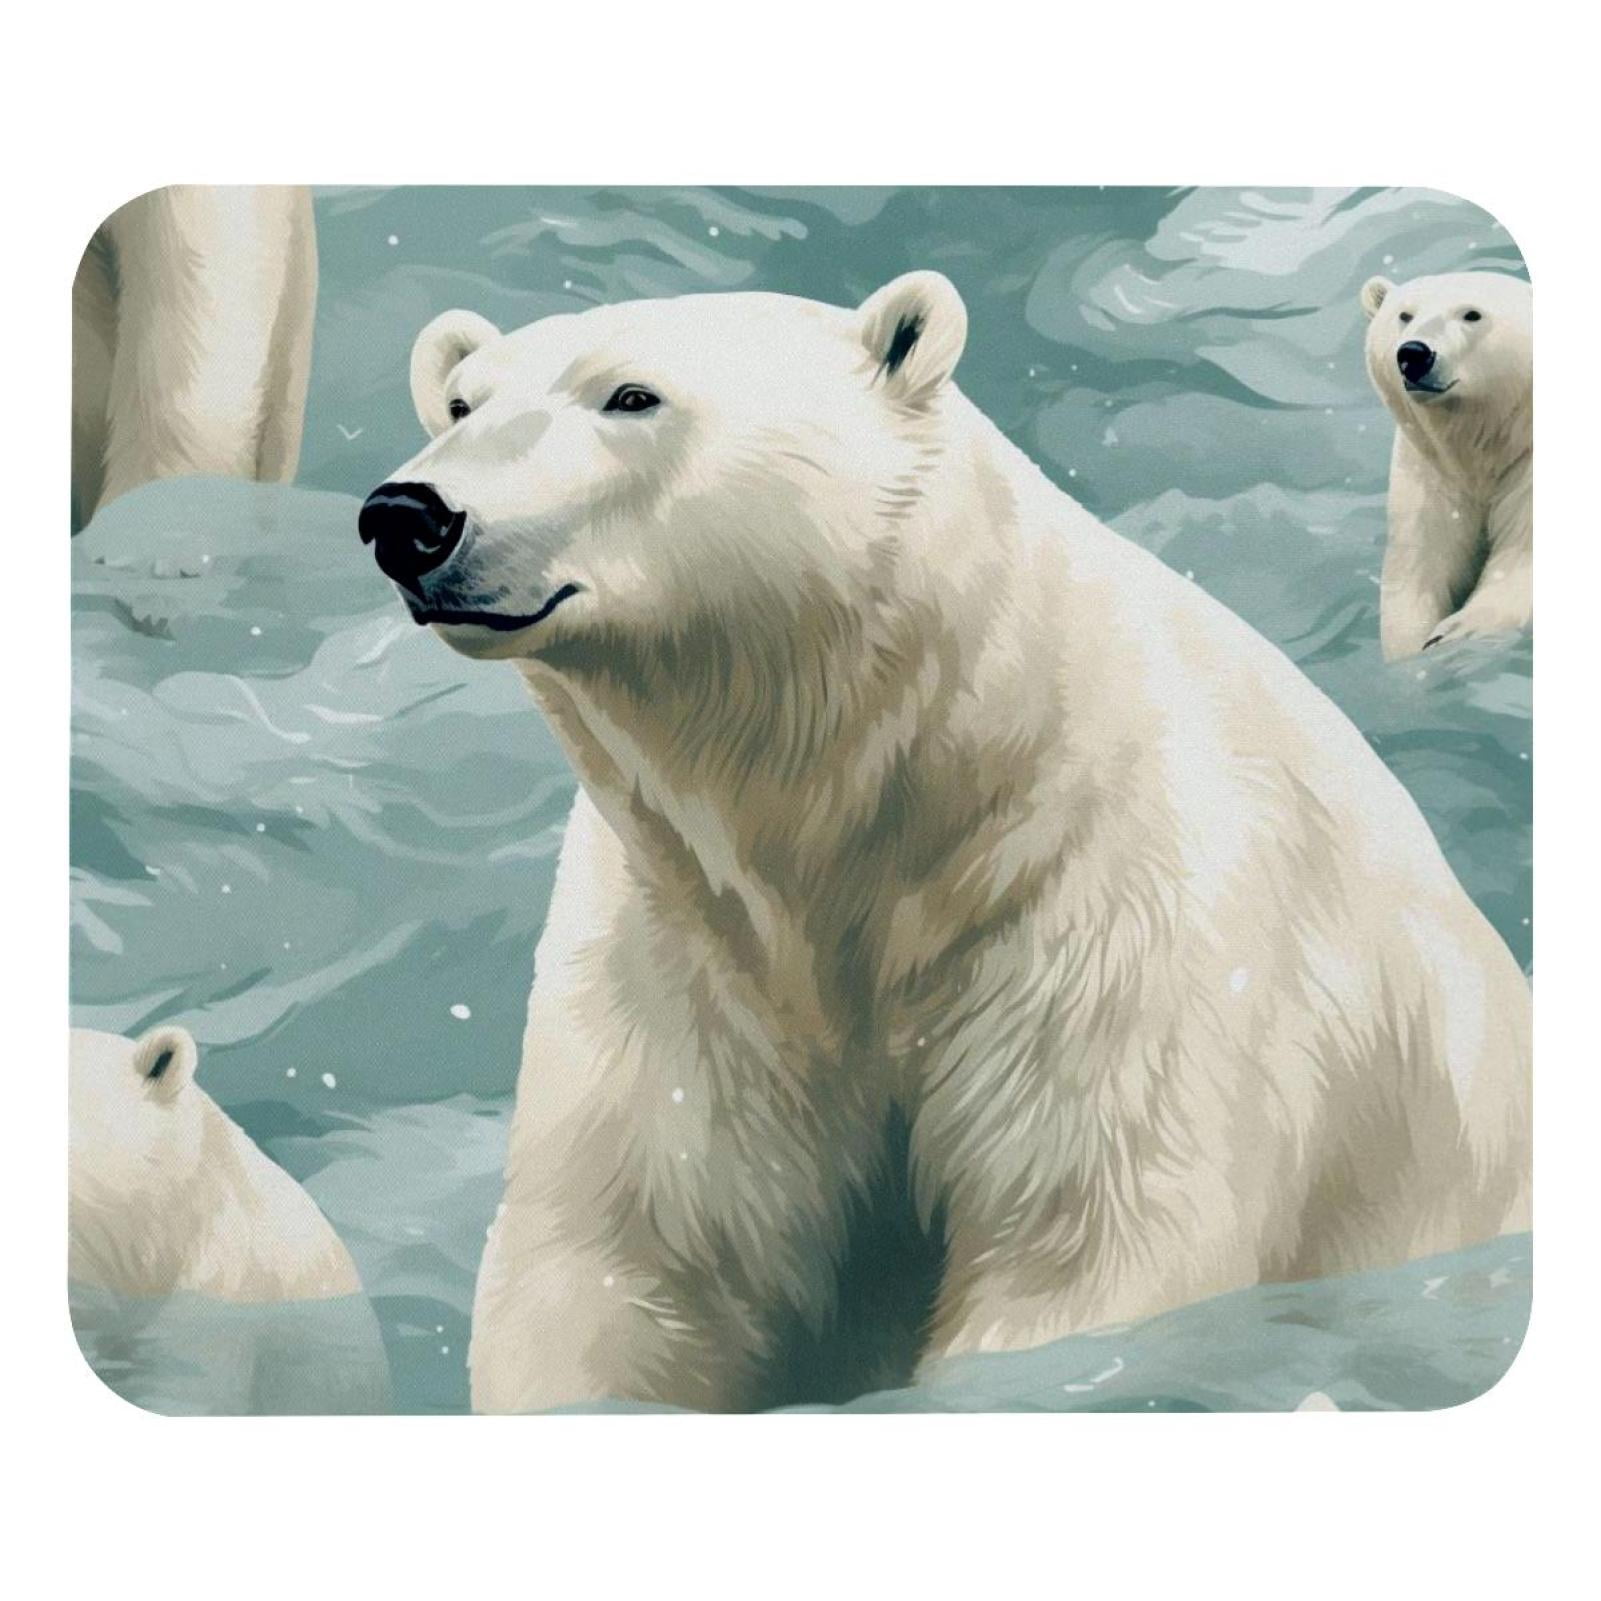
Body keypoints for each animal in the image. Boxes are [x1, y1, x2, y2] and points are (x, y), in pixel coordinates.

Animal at [1359, 270, 1532, 659]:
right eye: (1404, 314)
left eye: (1471, 314)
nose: (1413, 354)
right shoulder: (1431, 472)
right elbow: (1425, 558)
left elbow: (1522, 555)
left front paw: (1452, 632)